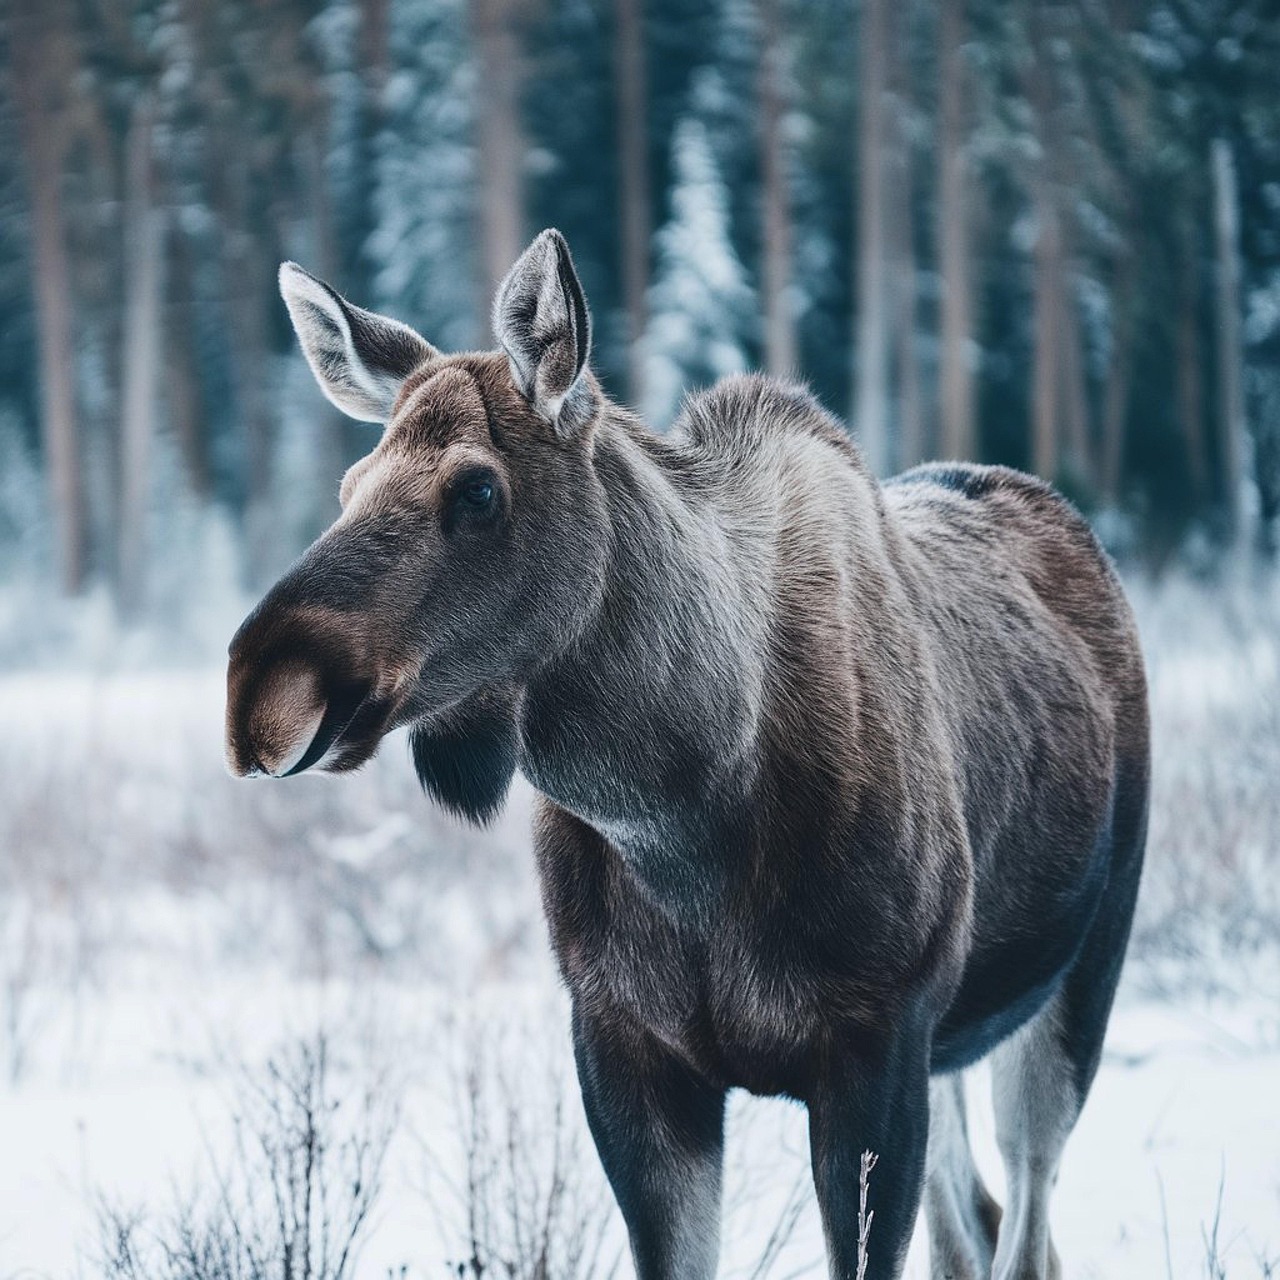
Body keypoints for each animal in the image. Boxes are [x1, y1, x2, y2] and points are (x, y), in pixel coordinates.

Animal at [226, 229, 1149, 1280]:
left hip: (1080, 977)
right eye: (348, 487)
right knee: (977, 1227)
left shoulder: (876, 1038)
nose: (262, 691)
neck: (682, 809)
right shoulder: (626, 1044)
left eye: (478, 487)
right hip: (956, 1040)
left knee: (1025, 1222)